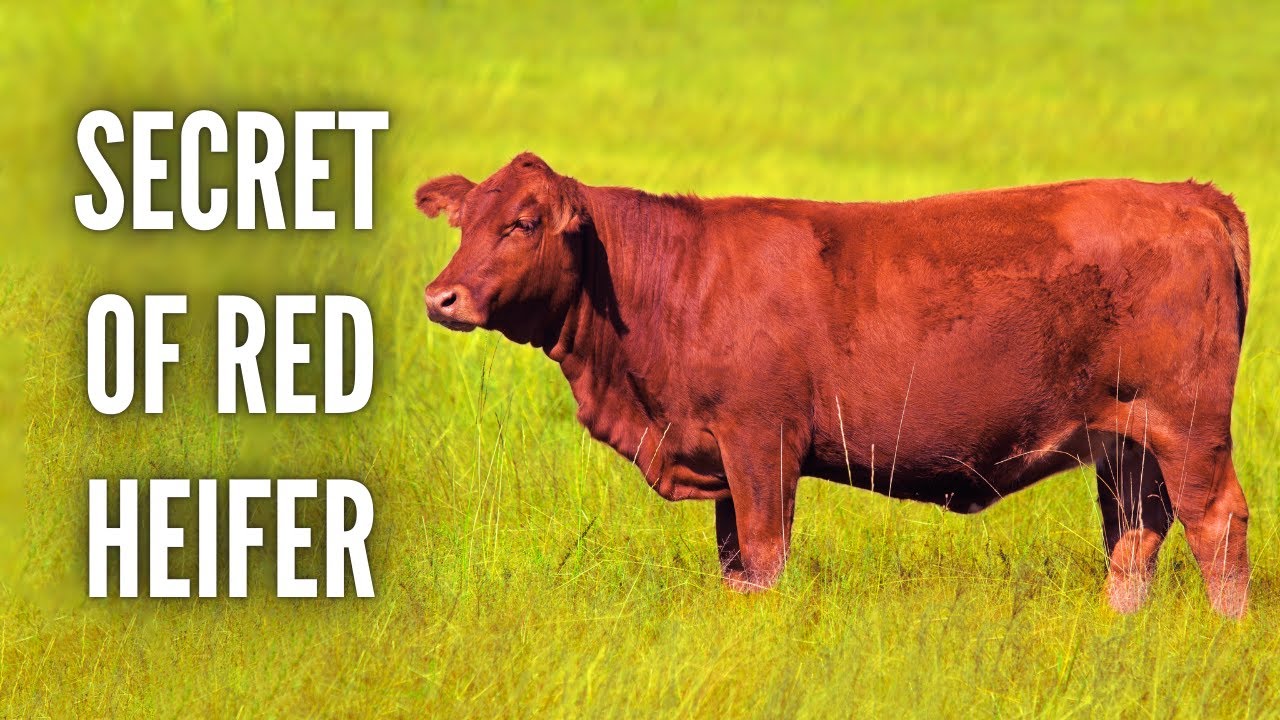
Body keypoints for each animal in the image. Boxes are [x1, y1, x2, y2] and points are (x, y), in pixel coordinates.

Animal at [415, 152, 1252, 617]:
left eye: (523, 223)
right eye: (464, 222)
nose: (440, 297)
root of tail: (1187, 195)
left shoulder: (760, 441)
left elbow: (763, 557)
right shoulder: (722, 459)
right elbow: (735, 567)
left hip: (1190, 426)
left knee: (1217, 525)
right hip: (1127, 443)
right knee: (1135, 539)